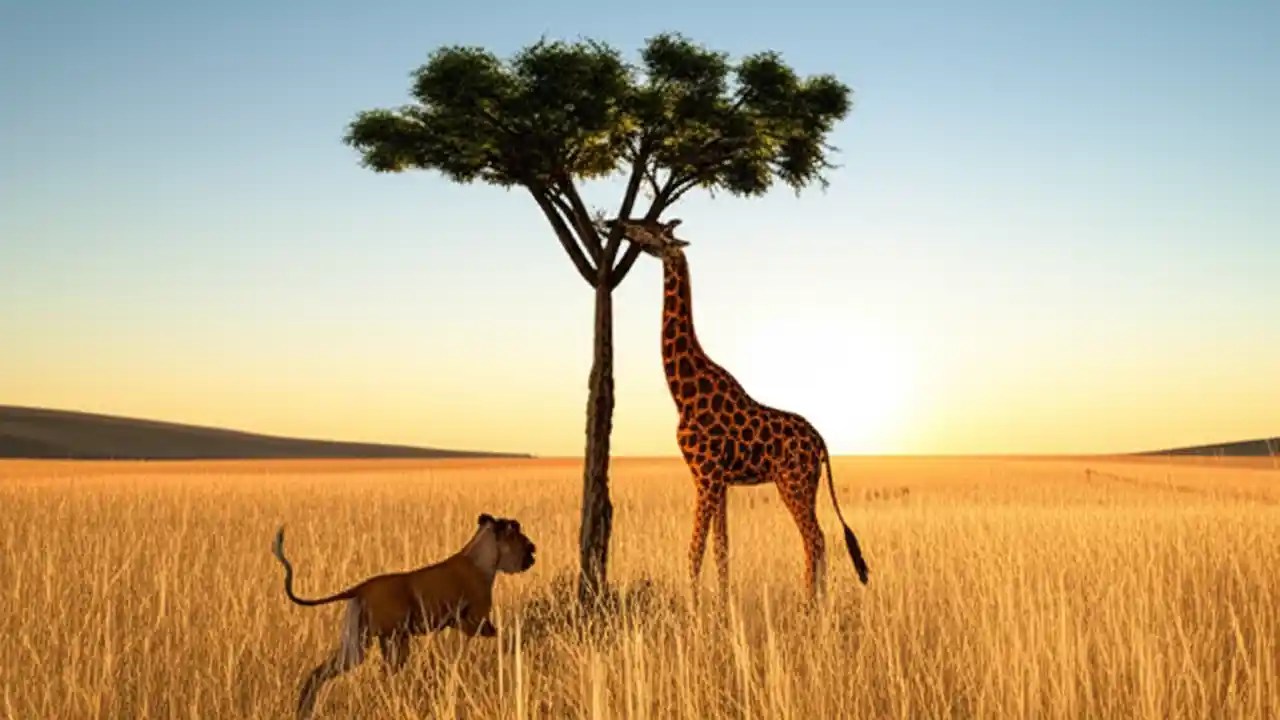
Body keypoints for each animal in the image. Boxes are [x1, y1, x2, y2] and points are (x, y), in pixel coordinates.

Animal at [604, 217, 870, 603]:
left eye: (648, 228)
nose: (615, 223)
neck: (683, 394)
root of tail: (821, 441)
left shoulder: (705, 475)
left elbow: (695, 550)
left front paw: (695, 610)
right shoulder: (720, 480)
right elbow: (721, 549)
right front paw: (721, 605)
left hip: (792, 481)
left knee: (813, 538)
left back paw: (810, 605)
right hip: (809, 483)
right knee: (818, 537)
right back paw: (820, 602)